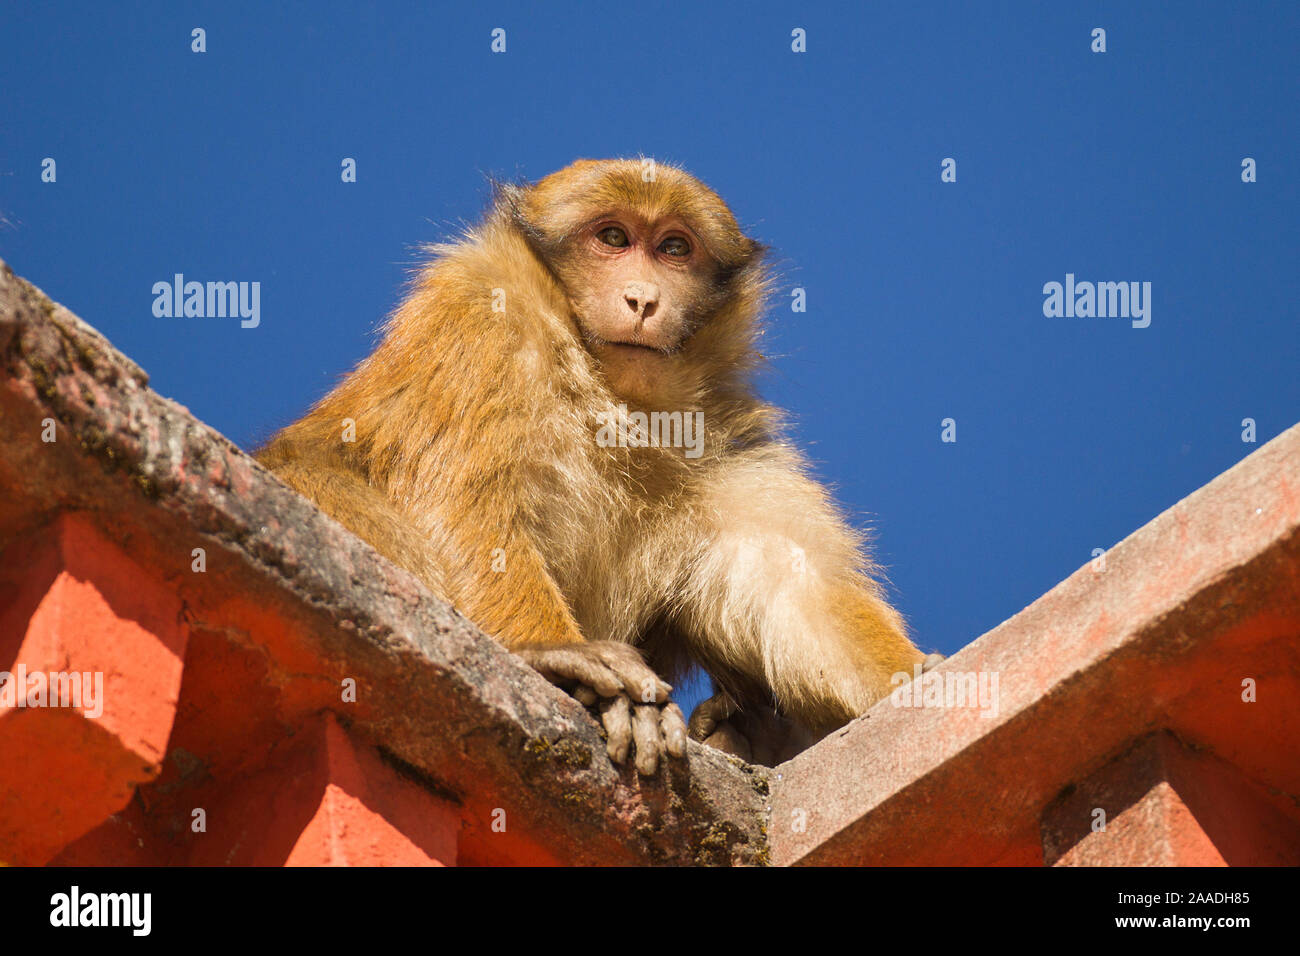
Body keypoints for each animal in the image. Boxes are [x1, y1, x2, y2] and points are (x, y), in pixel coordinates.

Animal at [256, 158, 933, 774]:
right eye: (612, 237)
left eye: (674, 248)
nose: (643, 298)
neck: (611, 394)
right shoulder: (478, 315)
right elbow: (457, 496)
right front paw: (544, 650)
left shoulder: (724, 440)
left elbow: (788, 582)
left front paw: (923, 678)